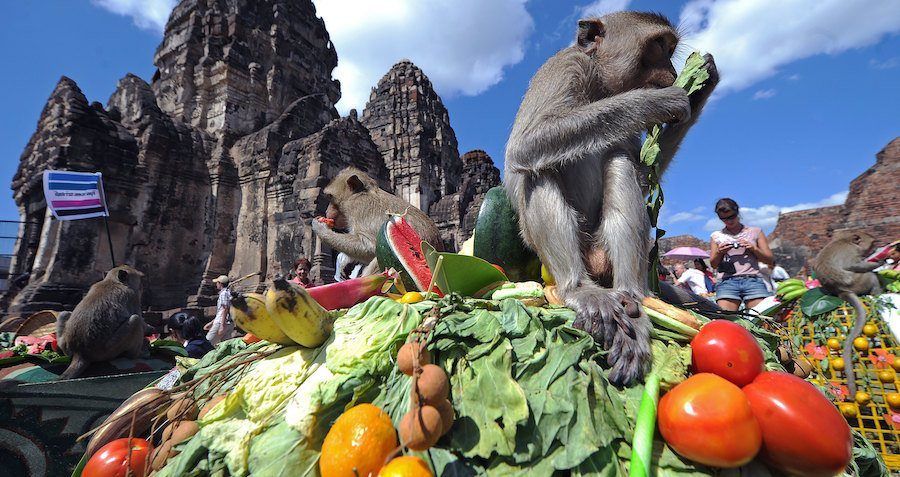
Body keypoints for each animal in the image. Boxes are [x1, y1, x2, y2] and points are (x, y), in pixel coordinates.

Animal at [311, 167, 444, 274]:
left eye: (330, 197)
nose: (326, 211)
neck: (362, 193)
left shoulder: (359, 208)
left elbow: (369, 246)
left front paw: (320, 228)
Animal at [503, 12, 718, 385]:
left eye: (670, 50)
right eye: (658, 46)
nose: (672, 73)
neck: (599, 83)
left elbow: (643, 174)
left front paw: (702, 85)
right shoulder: (562, 69)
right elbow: (526, 145)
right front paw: (656, 101)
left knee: (618, 158)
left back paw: (631, 296)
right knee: (538, 169)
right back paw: (579, 289)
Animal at [813, 230, 883, 396]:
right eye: (873, 242)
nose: (876, 248)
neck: (847, 240)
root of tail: (841, 291)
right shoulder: (852, 252)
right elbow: (853, 265)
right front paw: (879, 263)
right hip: (859, 282)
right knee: (870, 275)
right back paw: (877, 291)